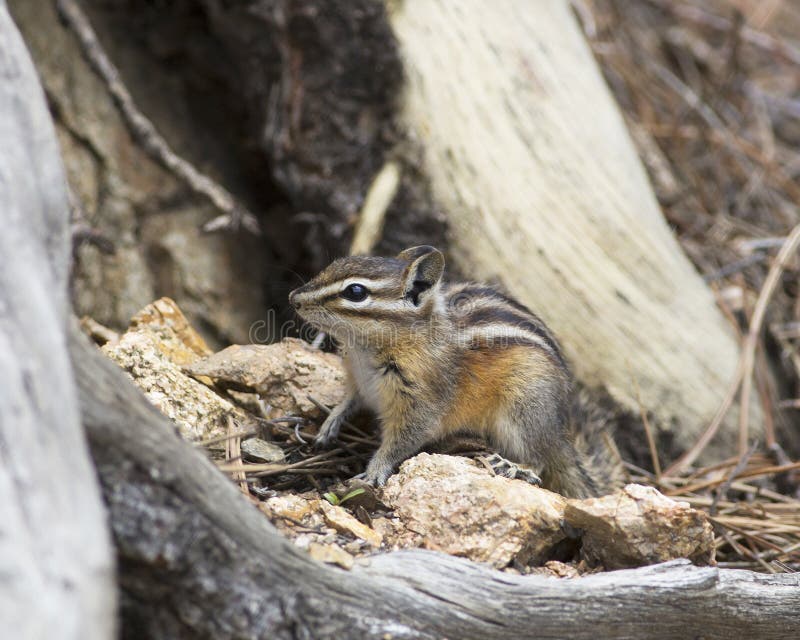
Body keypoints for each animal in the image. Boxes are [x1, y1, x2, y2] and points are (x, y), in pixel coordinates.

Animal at [289, 246, 623, 498]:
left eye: (356, 291)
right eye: (336, 262)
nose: (294, 298)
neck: (364, 352)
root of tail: (562, 434)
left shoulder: (422, 402)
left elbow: (402, 441)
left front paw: (374, 471)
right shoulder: (358, 381)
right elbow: (349, 400)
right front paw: (330, 423)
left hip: (525, 407)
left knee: (540, 459)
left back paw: (516, 467)